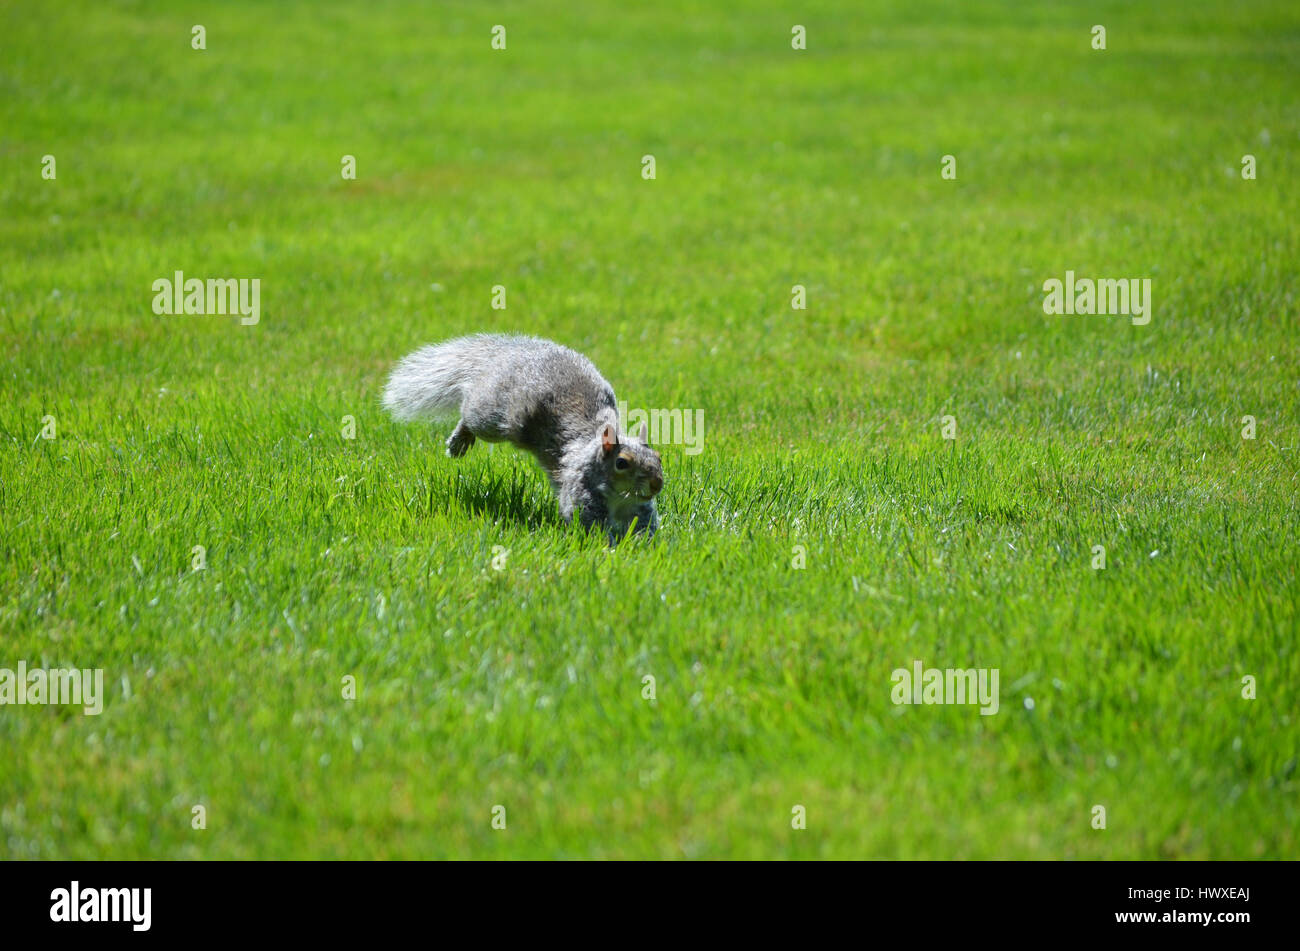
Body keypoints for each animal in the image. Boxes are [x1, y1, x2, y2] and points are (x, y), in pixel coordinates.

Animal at [382, 333, 664, 542]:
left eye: (658, 457)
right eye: (621, 463)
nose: (656, 484)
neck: (620, 497)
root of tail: (509, 356)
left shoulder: (638, 509)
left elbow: (645, 526)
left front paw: (643, 546)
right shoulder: (582, 492)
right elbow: (589, 523)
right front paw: (610, 547)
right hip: (492, 418)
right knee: (470, 412)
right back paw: (458, 440)